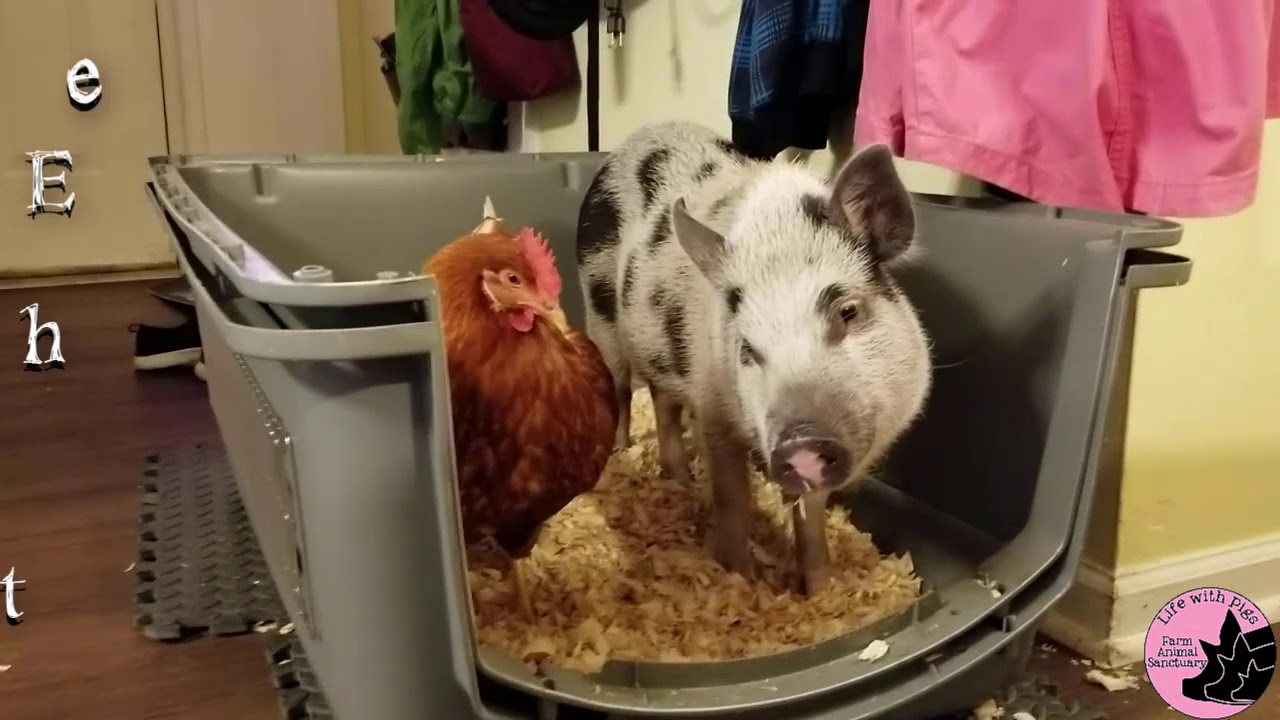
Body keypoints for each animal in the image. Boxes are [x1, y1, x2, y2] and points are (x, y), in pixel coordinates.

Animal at [574, 121, 932, 595]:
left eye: (848, 312)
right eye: (748, 348)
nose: (800, 440)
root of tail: (637, 137)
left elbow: (811, 517)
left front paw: (818, 591)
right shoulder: (715, 409)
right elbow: (733, 500)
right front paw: (738, 580)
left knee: (664, 404)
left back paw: (680, 482)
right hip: (598, 308)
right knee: (621, 393)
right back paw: (621, 459)